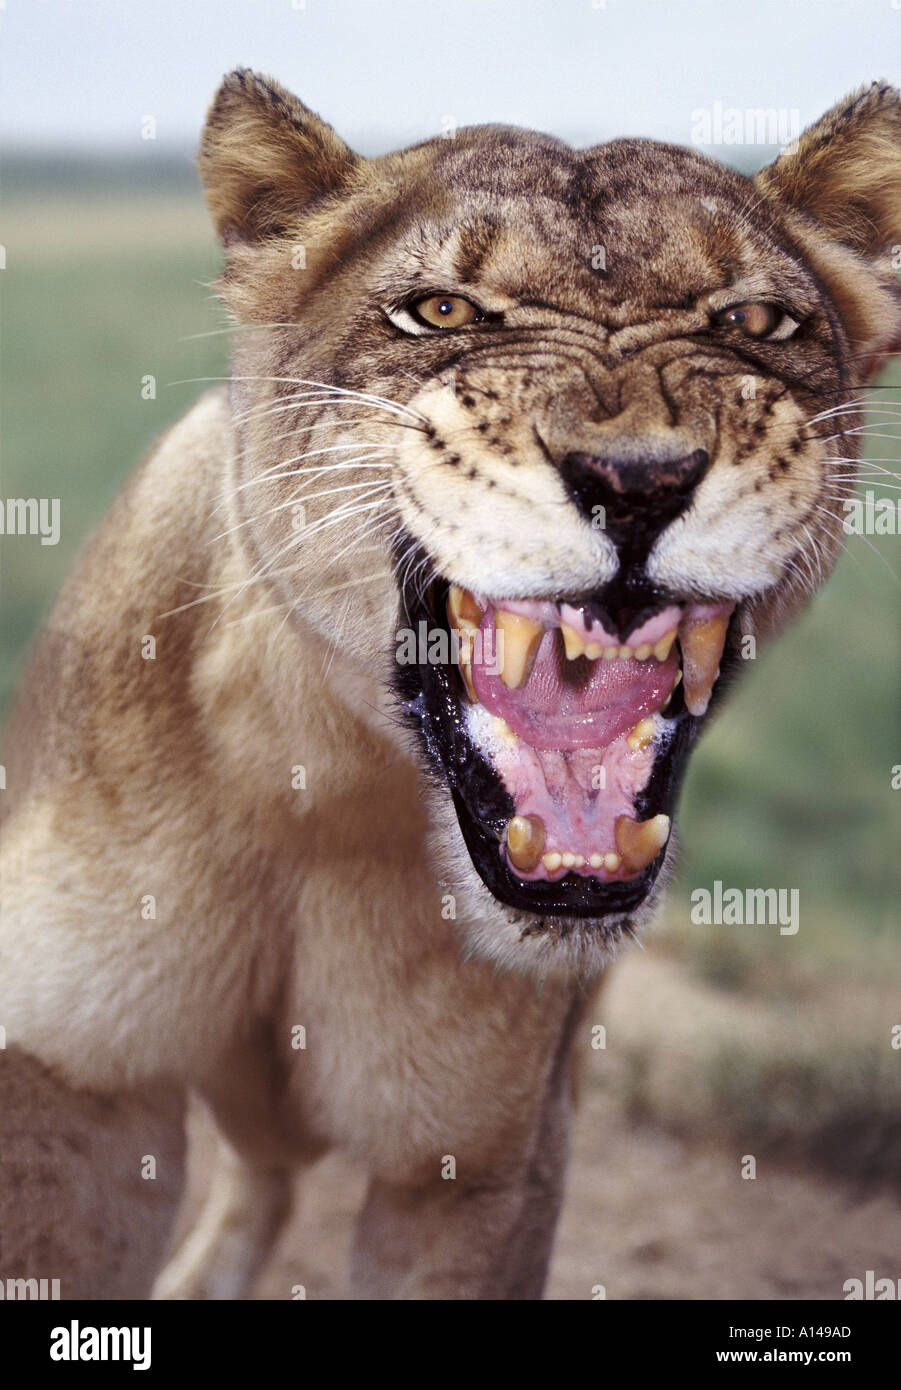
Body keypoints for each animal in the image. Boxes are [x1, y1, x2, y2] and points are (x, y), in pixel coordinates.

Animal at [0, 71, 898, 1301]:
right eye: (440, 312)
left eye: (754, 324)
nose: (636, 480)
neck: (320, 783)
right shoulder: (71, 1080)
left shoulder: (476, 1165)